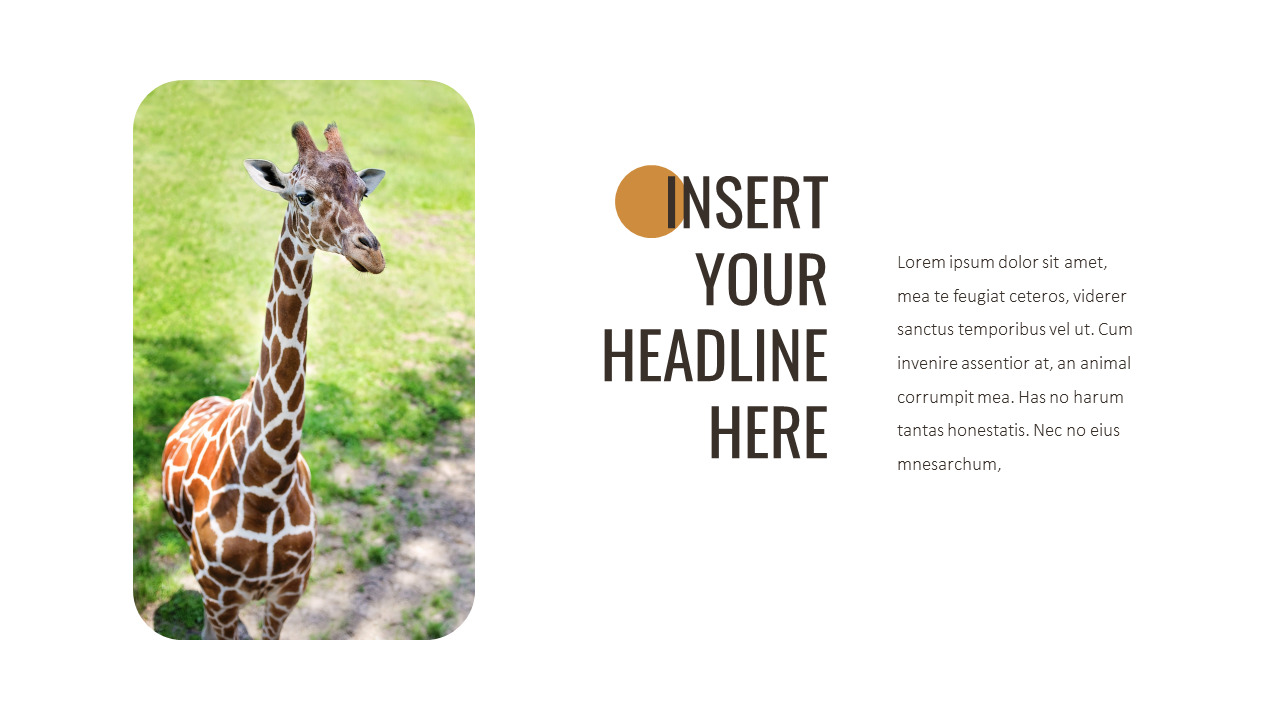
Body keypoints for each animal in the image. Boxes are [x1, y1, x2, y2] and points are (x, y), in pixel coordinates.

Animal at [161, 122, 387, 639]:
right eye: (302, 195)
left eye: (363, 192)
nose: (372, 254)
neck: (267, 481)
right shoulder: (220, 593)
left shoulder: (289, 591)